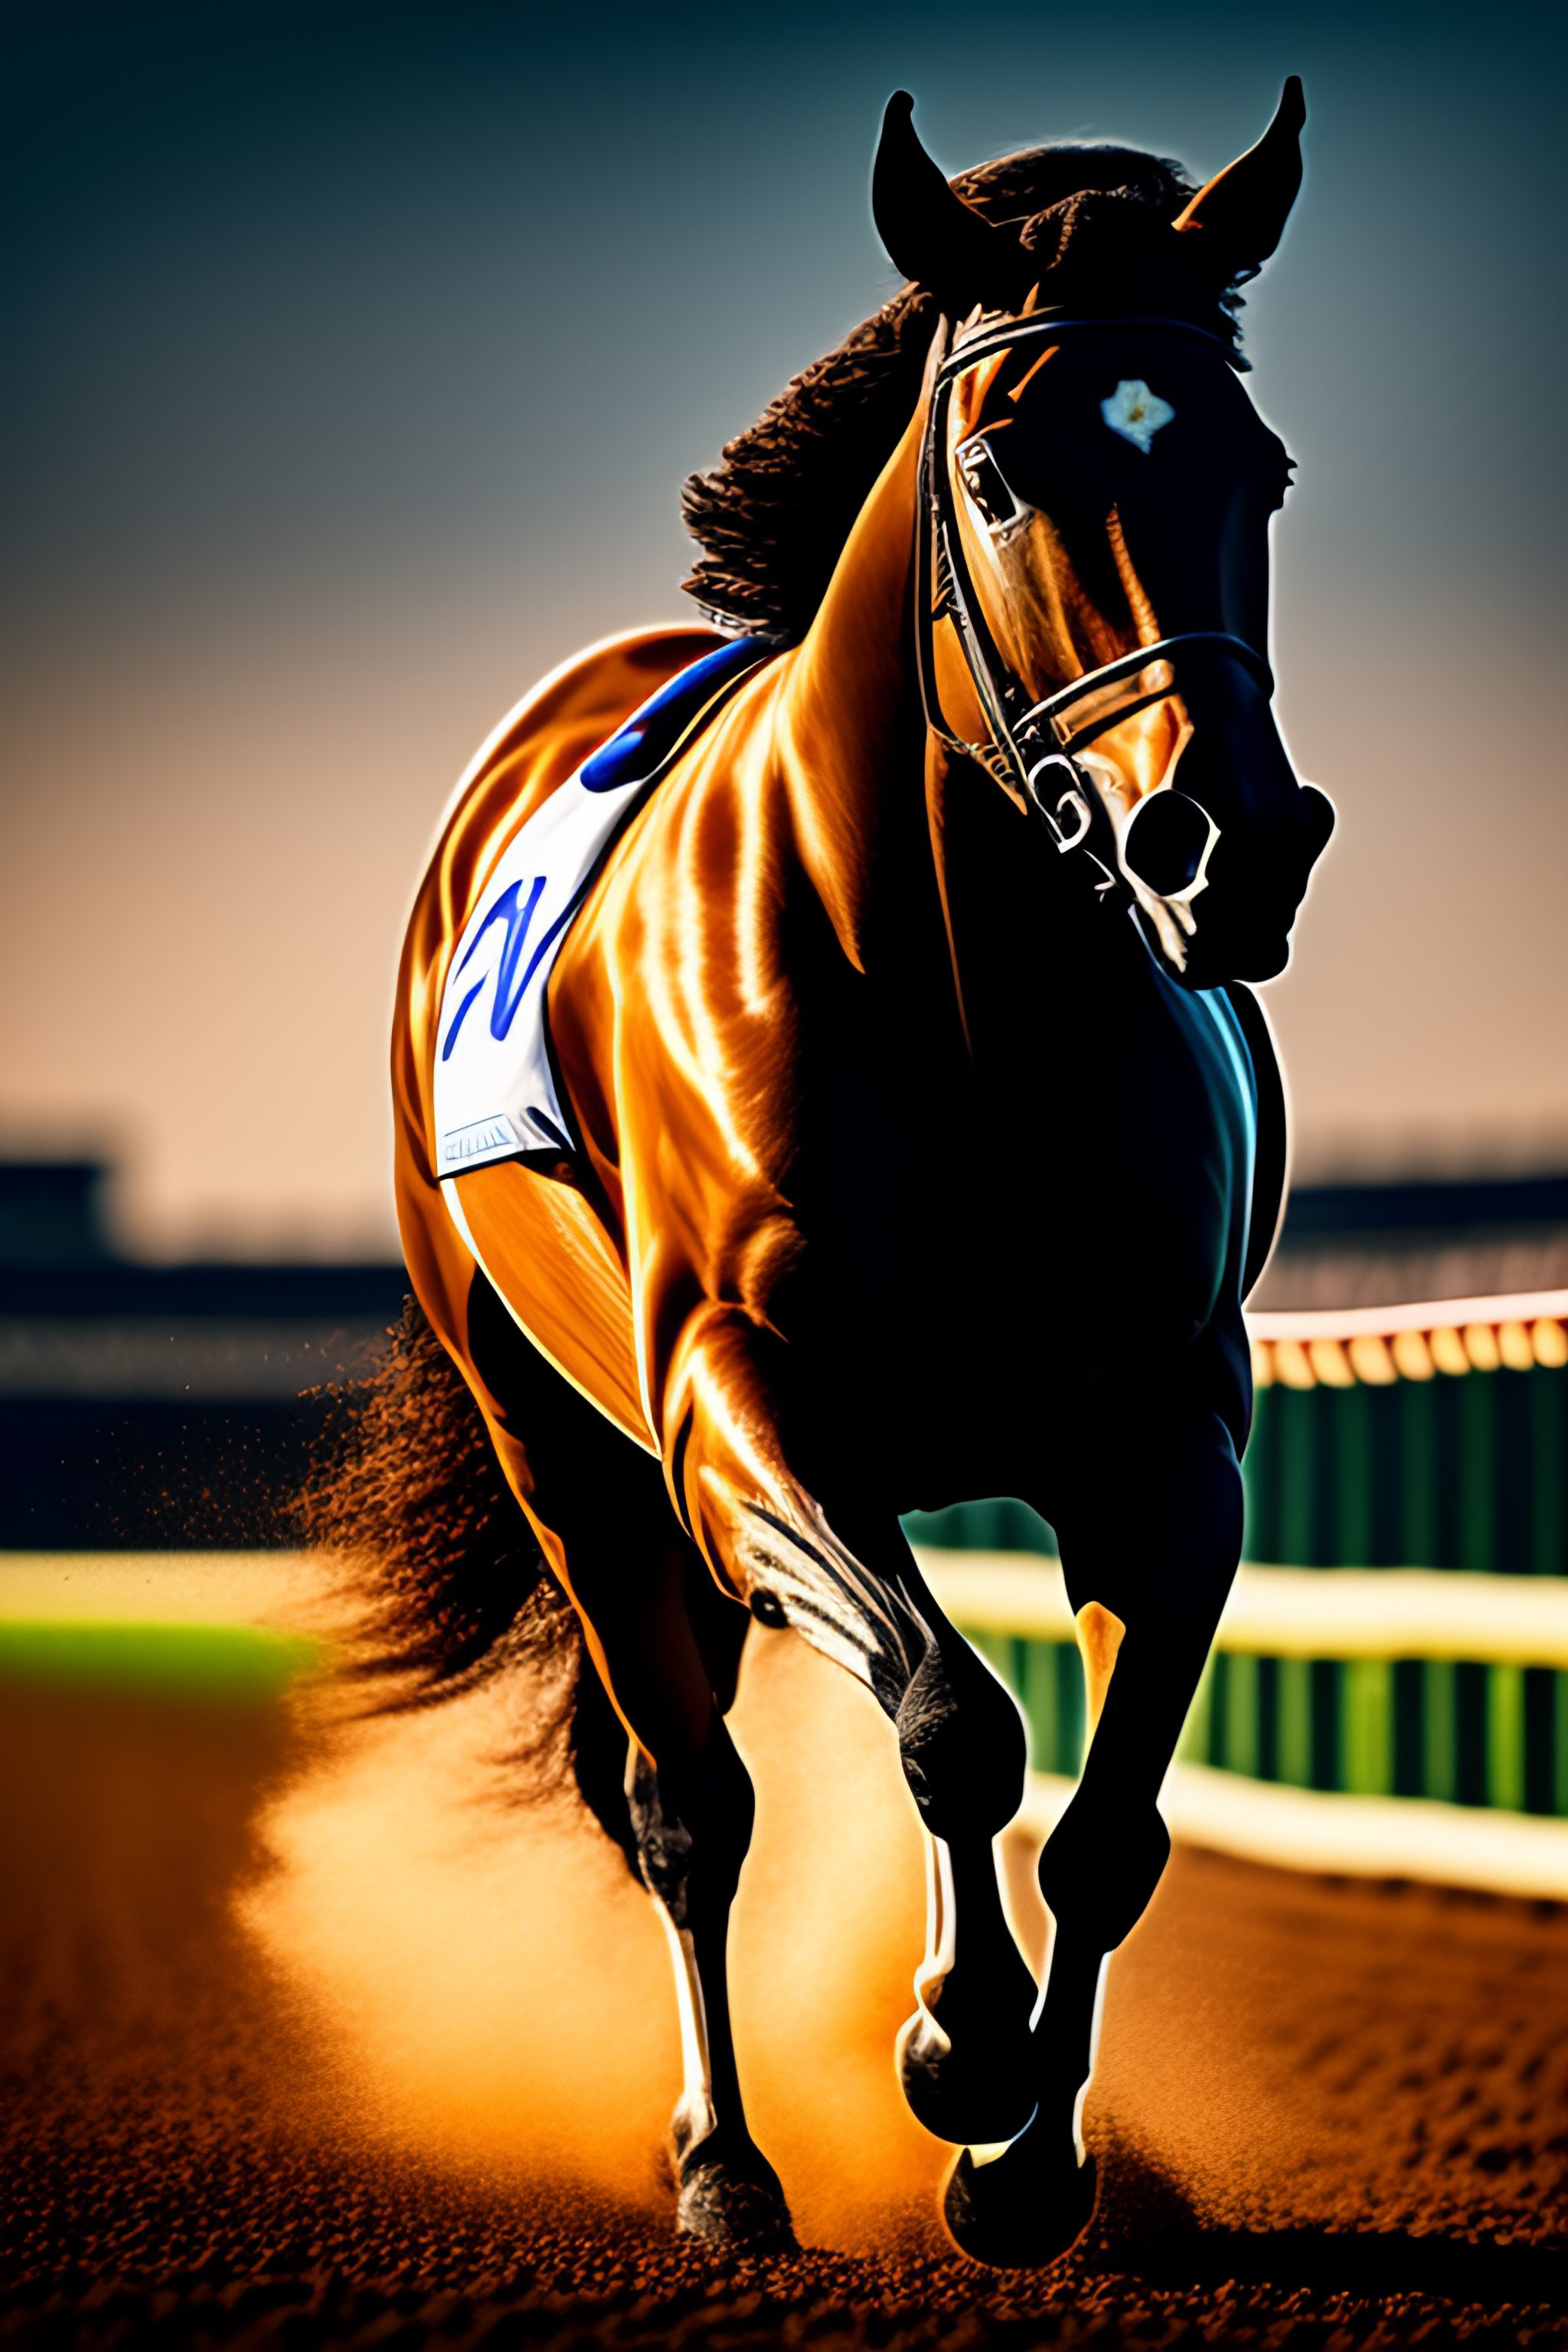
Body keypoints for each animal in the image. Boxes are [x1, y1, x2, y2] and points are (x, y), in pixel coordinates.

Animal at [376, 80, 1334, 2268]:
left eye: (1255, 468)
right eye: (993, 469)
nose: (1225, 849)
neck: (948, 993)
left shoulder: (1166, 1432)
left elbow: (1104, 1817)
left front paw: (1027, 2153)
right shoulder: (736, 1408)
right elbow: (953, 1724)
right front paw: (958, 2046)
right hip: (568, 1452)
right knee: (688, 1804)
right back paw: (724, 2162)